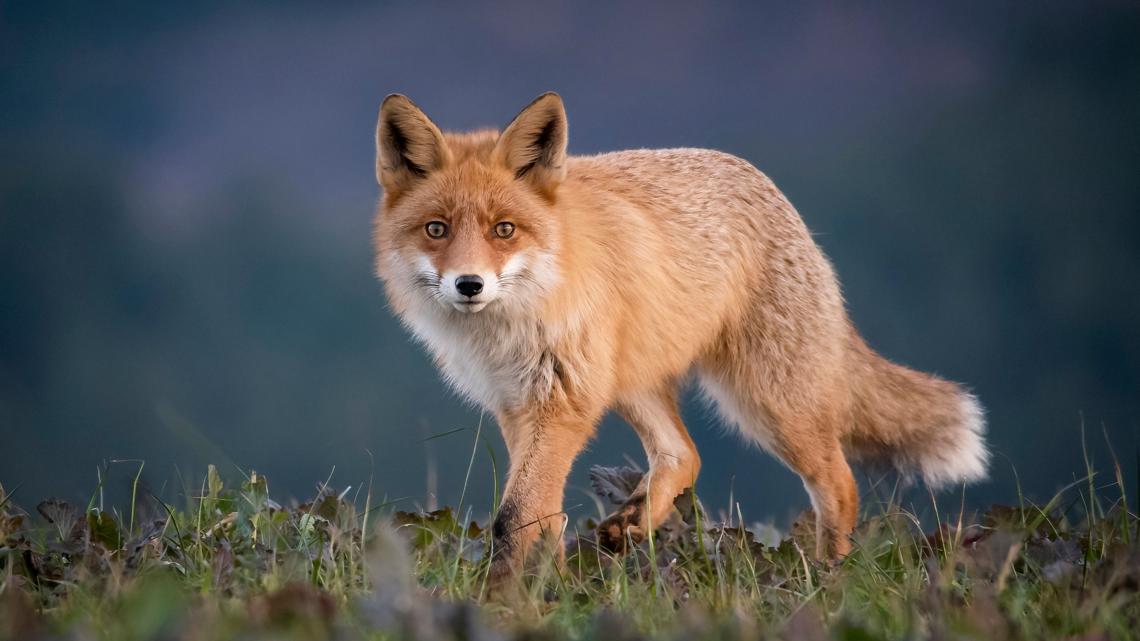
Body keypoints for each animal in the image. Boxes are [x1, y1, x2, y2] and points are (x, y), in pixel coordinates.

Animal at [372, 92, 988, 582]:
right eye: (436, 229)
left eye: (504, 229)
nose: (469, 284)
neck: (510, 327)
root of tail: (765, 183)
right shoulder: (517, 404)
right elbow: (540, 515)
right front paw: (541, 584)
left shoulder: (560, 402)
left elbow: (515, 516)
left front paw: (501, 598)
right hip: (634, 386)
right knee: (685, 456)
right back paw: (632, 523)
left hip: (771, 403)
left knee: (839, 484)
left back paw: (827, 578)